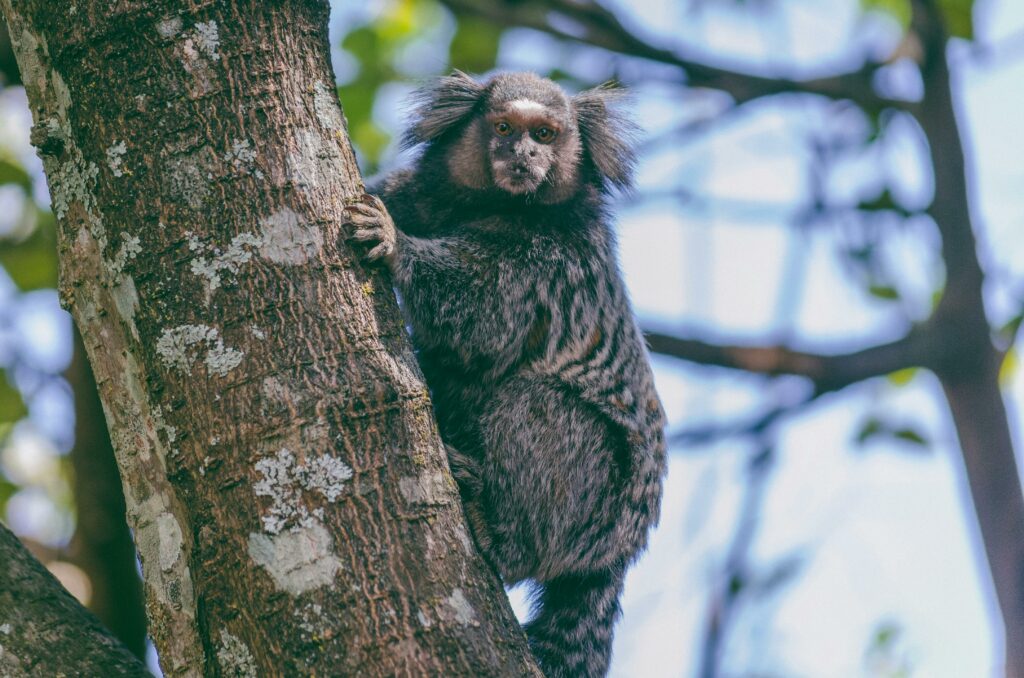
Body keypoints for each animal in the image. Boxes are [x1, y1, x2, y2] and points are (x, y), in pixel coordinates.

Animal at [343, 71, 666, 678]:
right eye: (502, 129)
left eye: (544, 134)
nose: (523, 157)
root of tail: (623, 551)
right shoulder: (419, 191)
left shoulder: (551, 260)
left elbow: (482, 314)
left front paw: (395, 245)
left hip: (598, 500)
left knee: (535, 403)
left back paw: (499, 532)